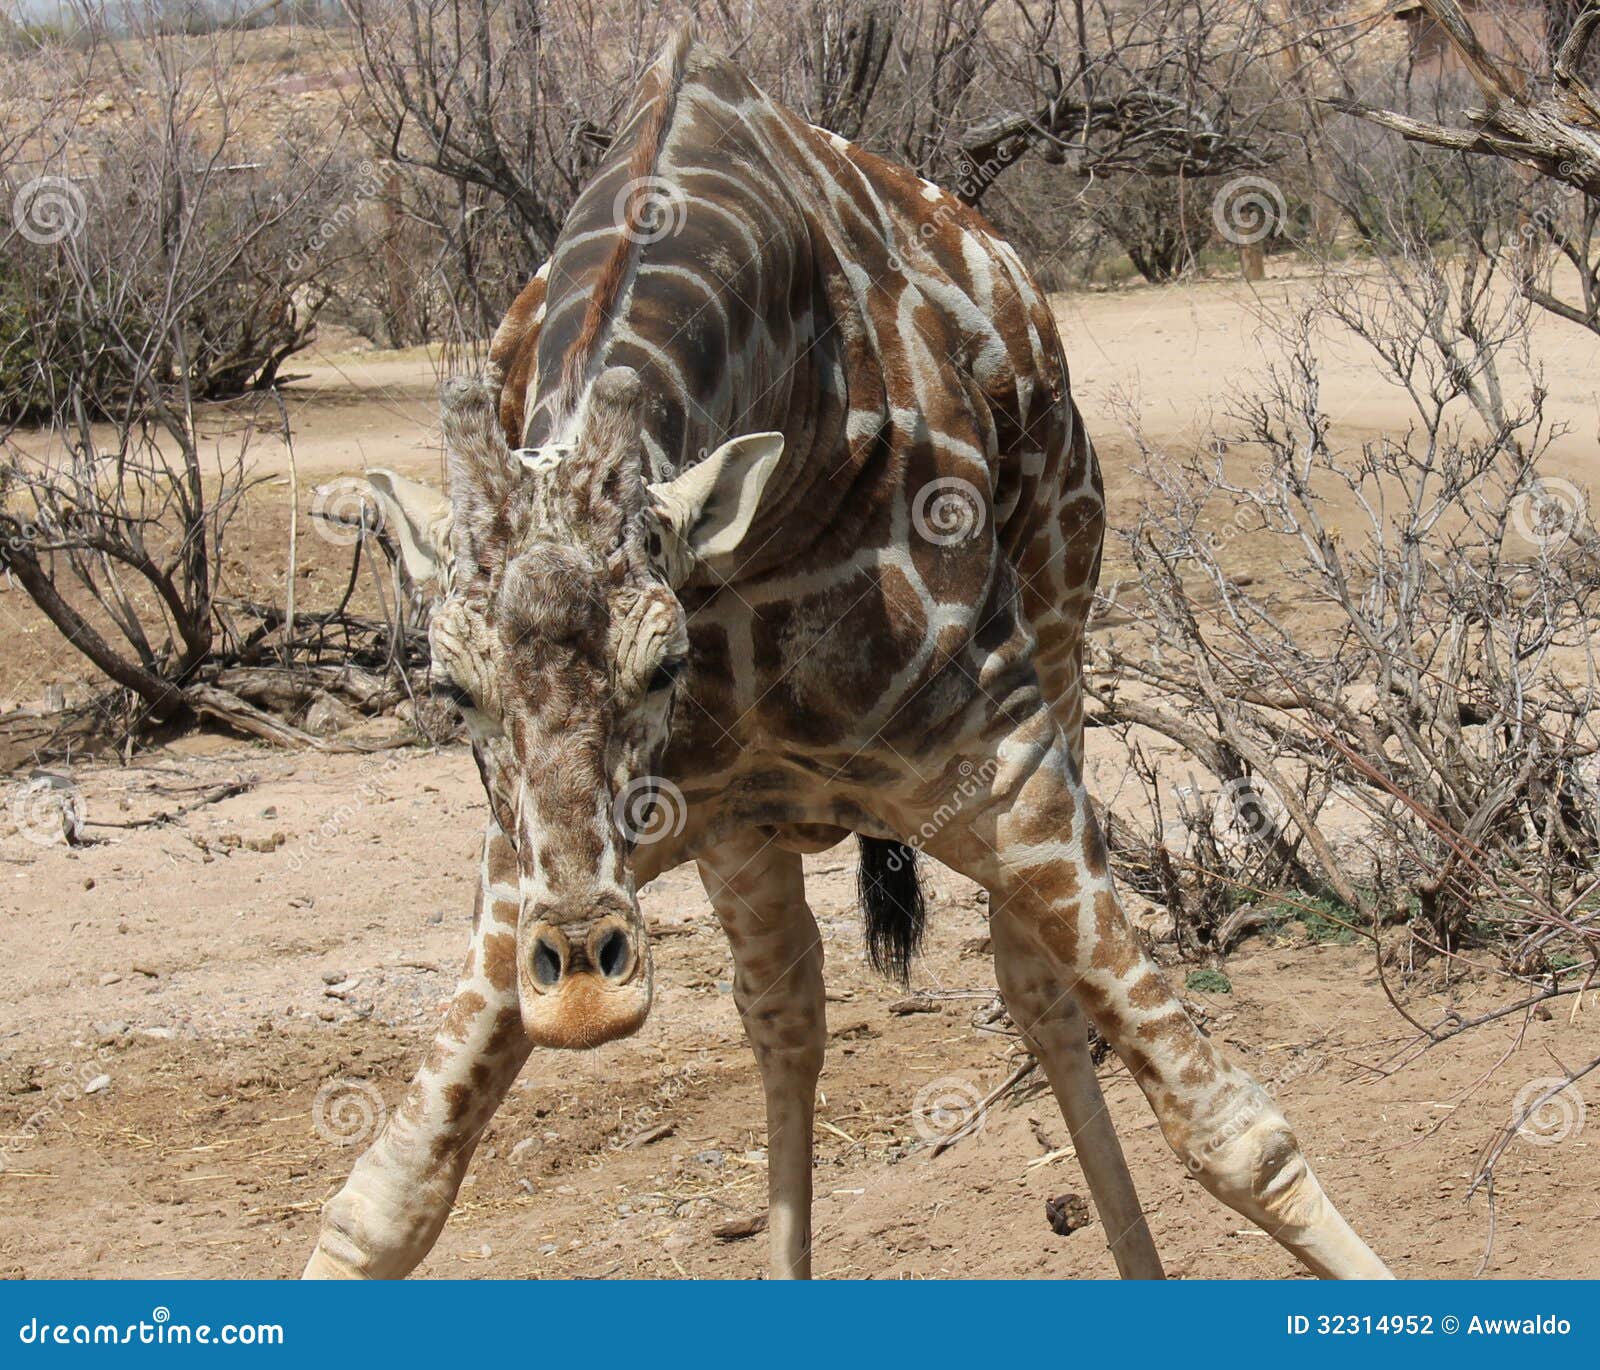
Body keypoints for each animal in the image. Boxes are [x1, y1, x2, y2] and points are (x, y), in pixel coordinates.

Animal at [304, 28, 1392, 1281]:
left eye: (662, 664)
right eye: (448, 686)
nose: (583, 986)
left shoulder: (1002, 762)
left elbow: (1232, 1128)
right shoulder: (530, 859)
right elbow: (381, 1199)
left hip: (1058, 654)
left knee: (1035, 995)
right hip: (741, 831)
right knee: (785, 1014)